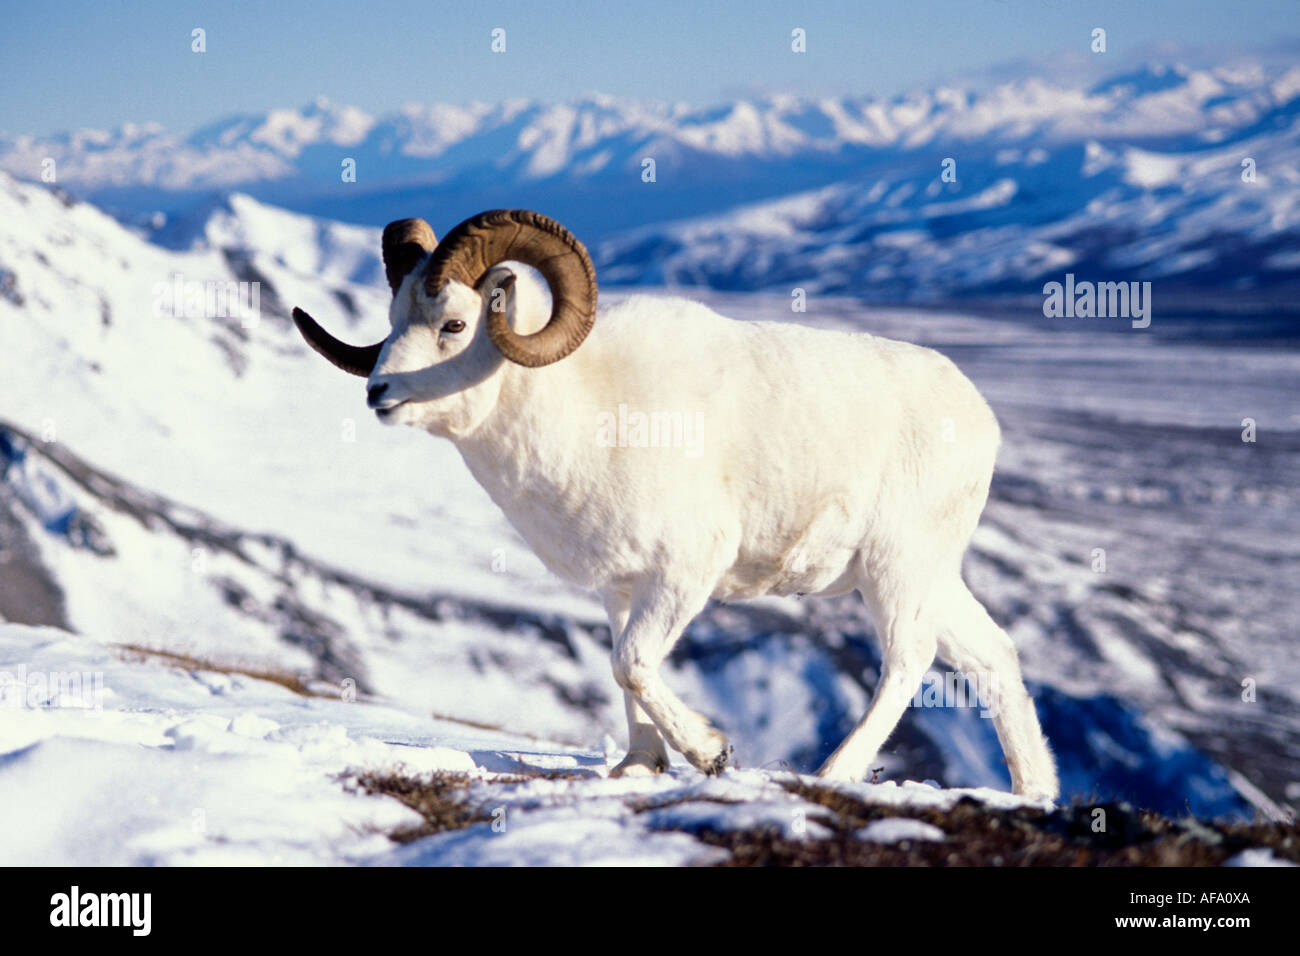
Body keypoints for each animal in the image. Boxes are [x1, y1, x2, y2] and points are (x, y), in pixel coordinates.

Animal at [291, 209, 1059, 799]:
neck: (586, 411)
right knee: (994, 659)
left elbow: (631, 664)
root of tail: (979, 416)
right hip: (929, 579)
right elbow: (624, 671)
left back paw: (835, 774)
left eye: (452, 324)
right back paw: (1035, 793)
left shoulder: (684, 575)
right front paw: (639, 767)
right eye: (395, 317)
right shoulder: (622, 588)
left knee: (907, 663)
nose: (379, 394)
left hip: (895, 572)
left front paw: (712, 753)